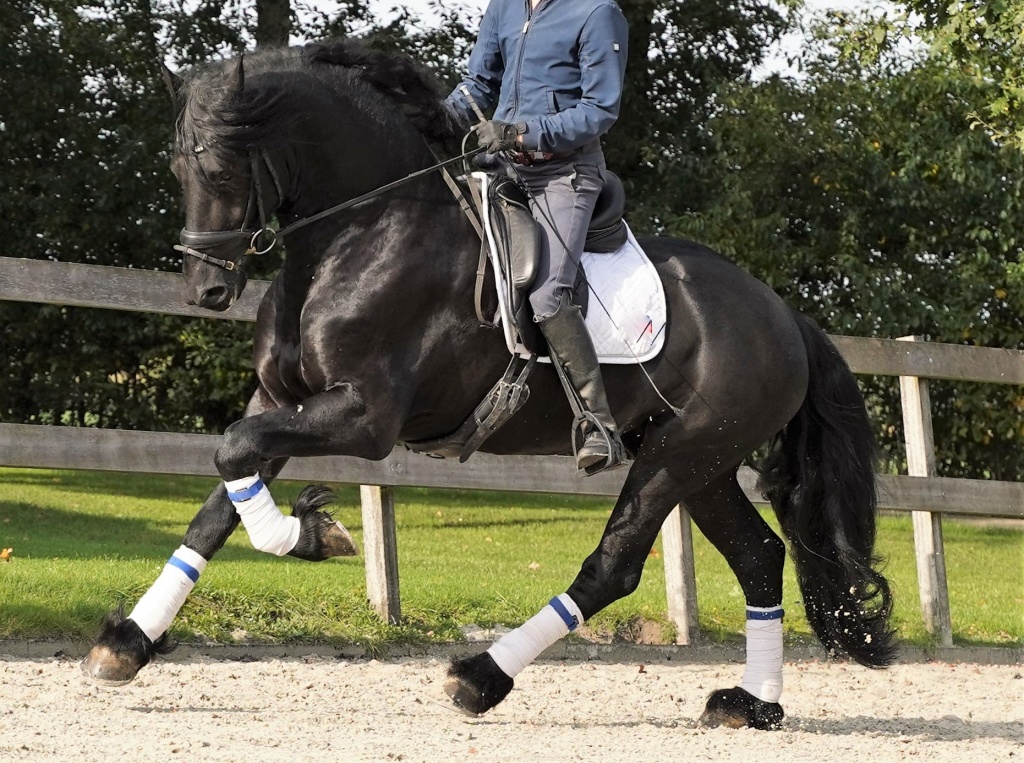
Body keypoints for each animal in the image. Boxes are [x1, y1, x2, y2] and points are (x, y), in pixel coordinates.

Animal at [82, 39, 896, 729]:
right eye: (175, 171)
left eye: (222, 171)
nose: (204, 291)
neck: (364, 231)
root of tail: (783, 313)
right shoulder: (283, 402)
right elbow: (218, 497)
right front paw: (127, 642)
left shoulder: (362, 416)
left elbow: (232, 452)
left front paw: (312, 533)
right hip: (704, 462)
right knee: (760, 557)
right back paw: (753, 704)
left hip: (677, 457)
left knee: (615, 566)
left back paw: (480, 676)